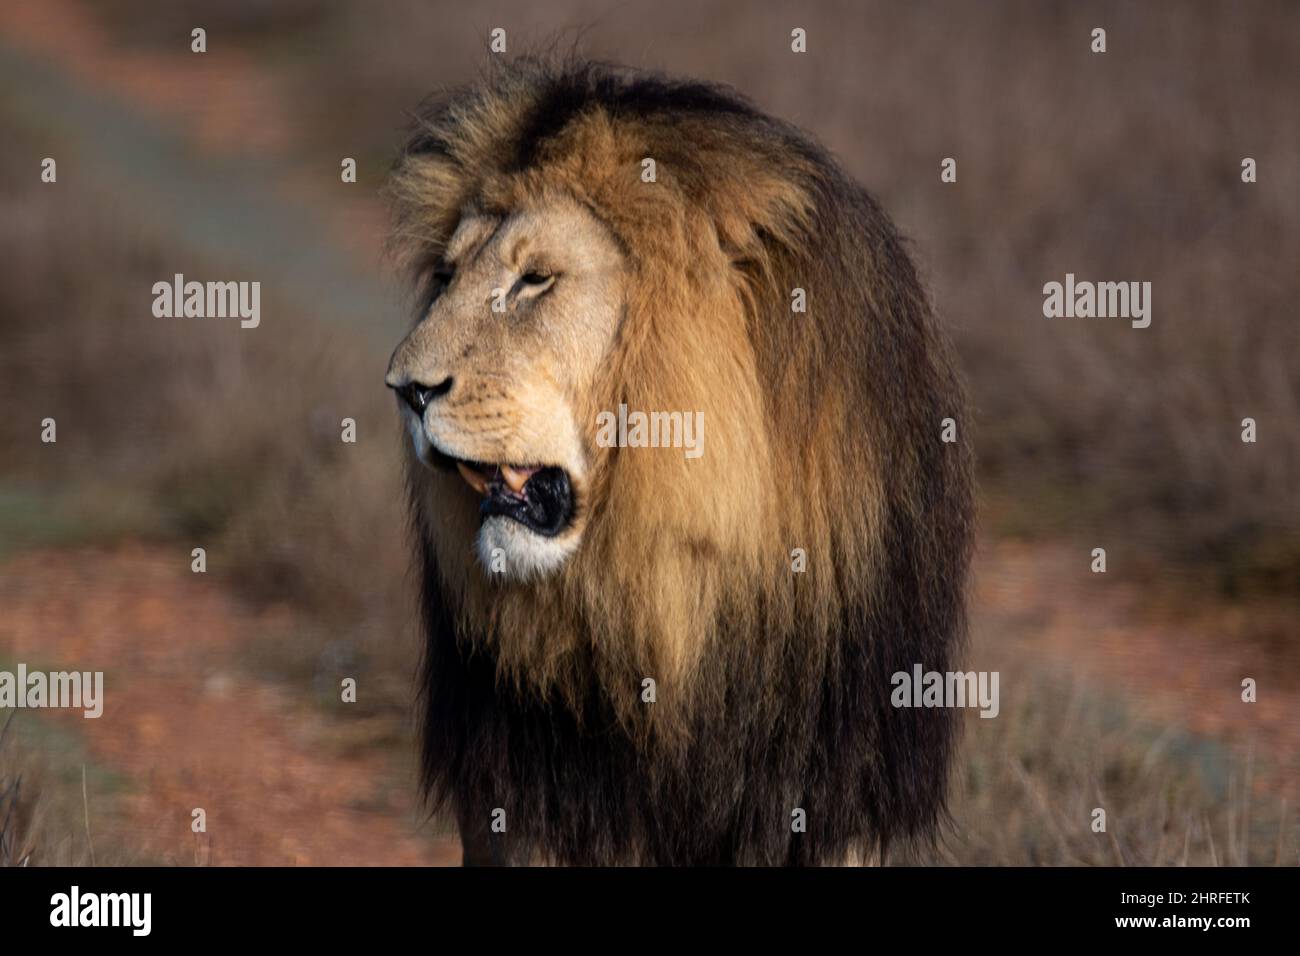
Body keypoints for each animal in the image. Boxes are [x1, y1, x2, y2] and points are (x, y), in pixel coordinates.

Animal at [384, 59, 974, 866]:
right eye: (445, 278)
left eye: (536, 279)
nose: (405, 388)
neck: (672, 605)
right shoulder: (532, 810)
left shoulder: (830, 807)